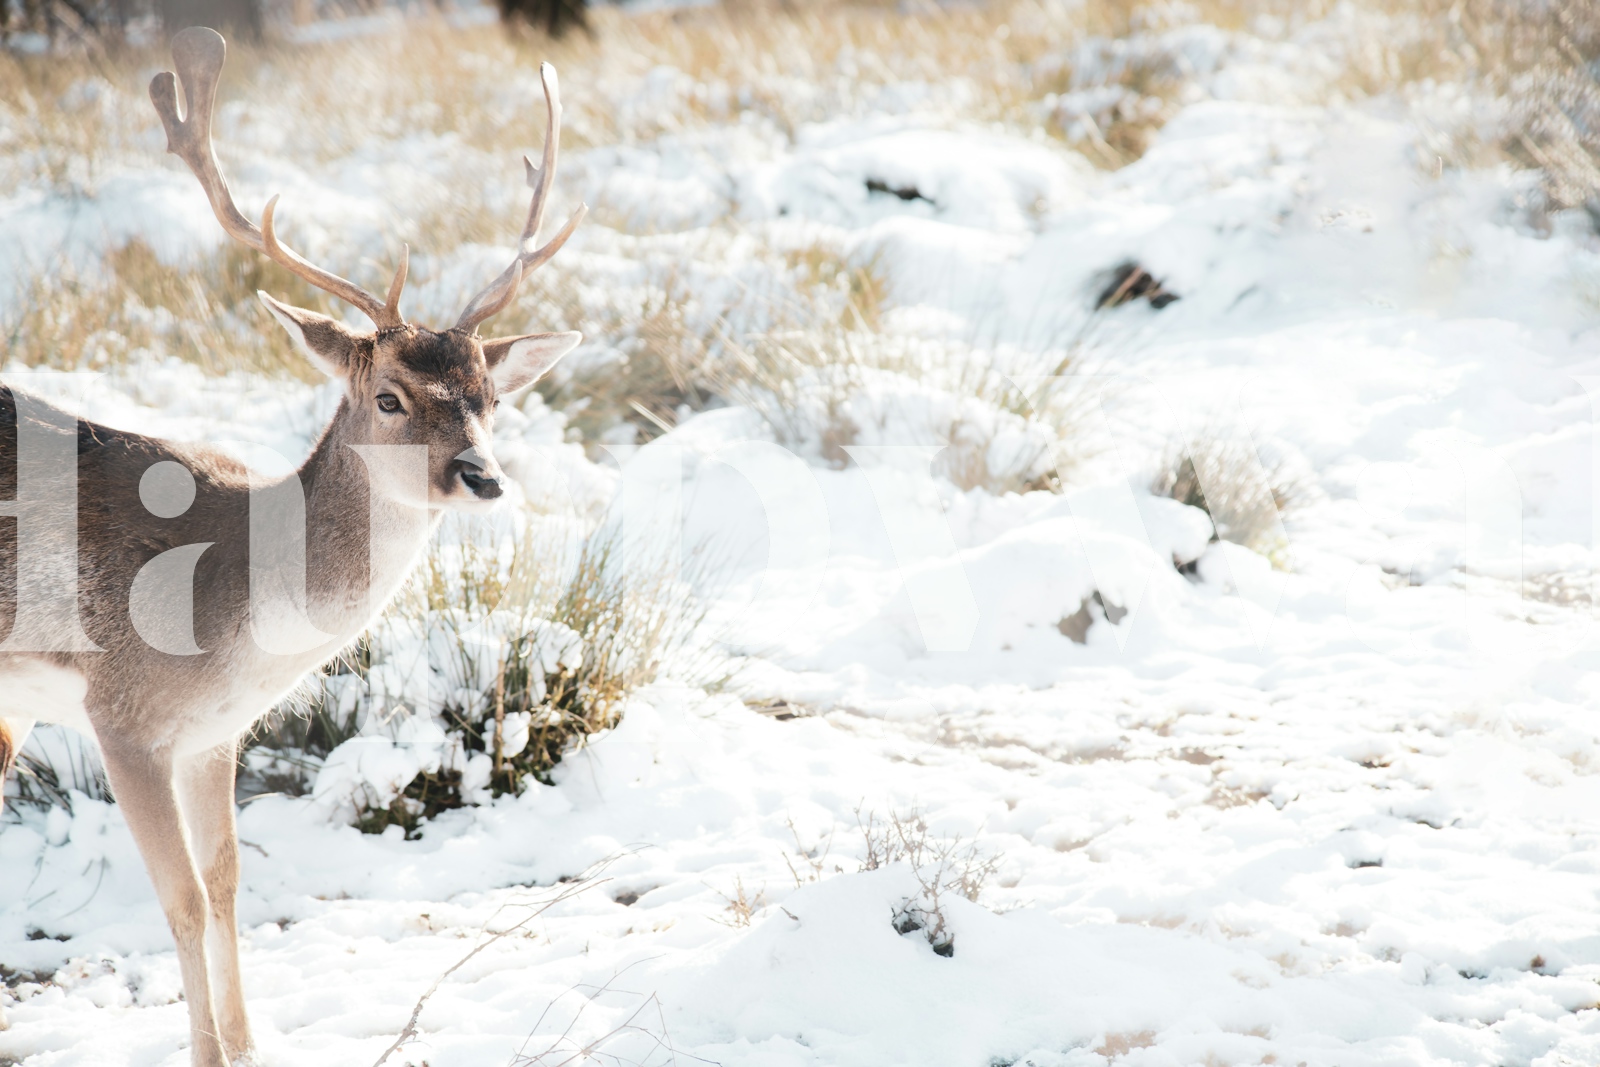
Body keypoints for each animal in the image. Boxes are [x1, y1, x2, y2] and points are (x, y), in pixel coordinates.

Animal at [0, 27, 586, 1065]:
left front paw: (245, 1044)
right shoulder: (123, 713)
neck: (231, 613)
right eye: (389, 395)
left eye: (491, 395)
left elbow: (229, 885)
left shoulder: (213, 734)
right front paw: (205, 1050)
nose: (483, 476)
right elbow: (183, 901)